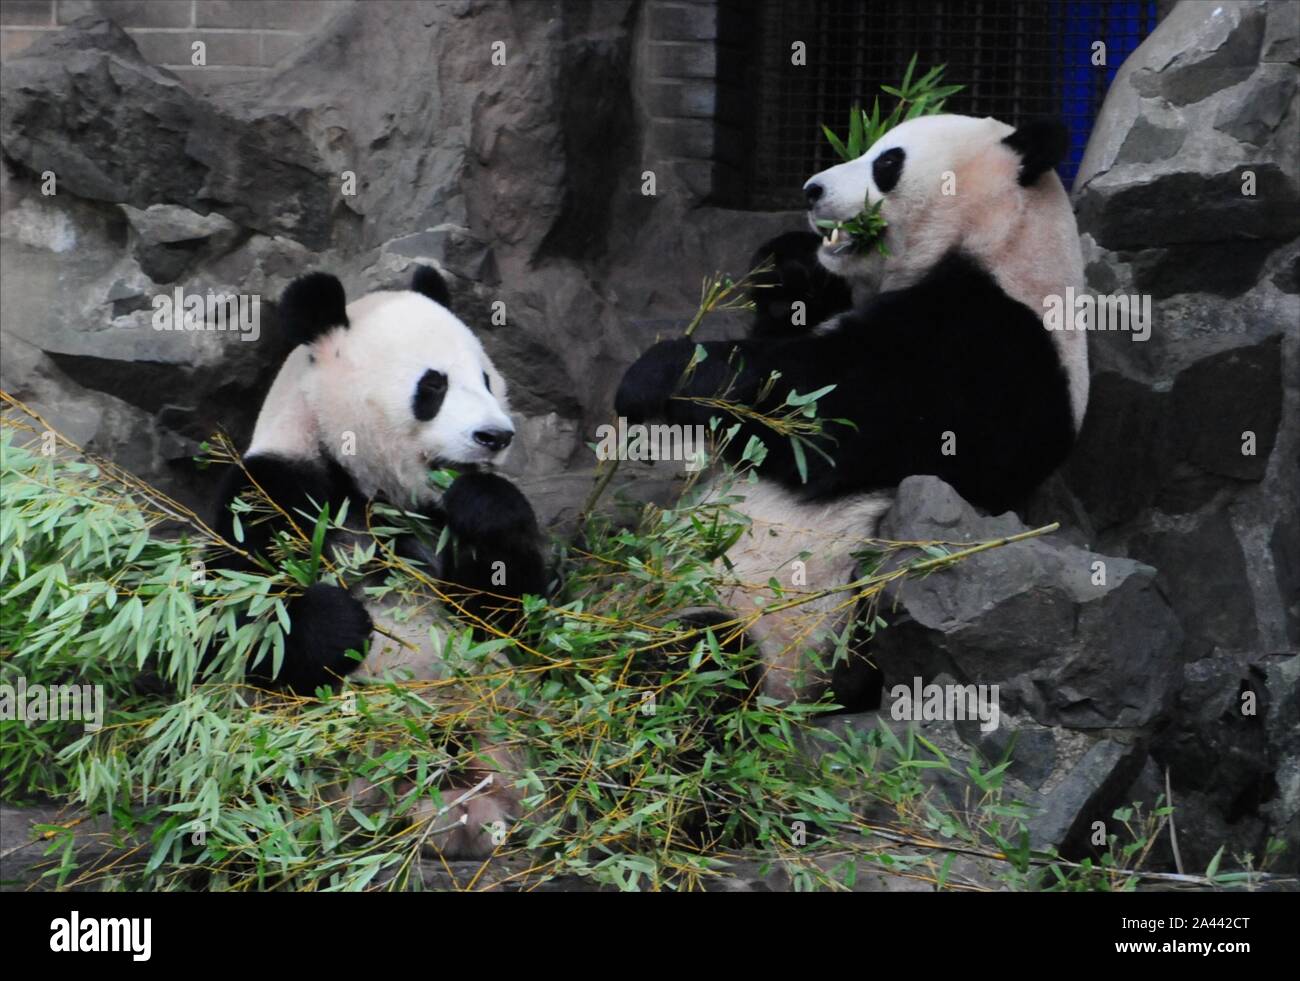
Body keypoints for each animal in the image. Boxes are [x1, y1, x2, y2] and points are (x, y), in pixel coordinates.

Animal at [212, 264, 545, 857]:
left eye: (486, 379)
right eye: (432, 386)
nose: (495, 436)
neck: (367, 485)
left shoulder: (433, 525)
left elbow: (510, 619)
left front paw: (487, 506)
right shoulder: (274, 489)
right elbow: (231, 626)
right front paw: (340, 623)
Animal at [616, 114, 1089, 707]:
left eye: (887, 162)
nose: (811, 190)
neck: (1008, 240)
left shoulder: (993, 352)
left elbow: (822, 419)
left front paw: (655, 375)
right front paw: (789, 261)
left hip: (786, 637)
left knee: (697, 659)